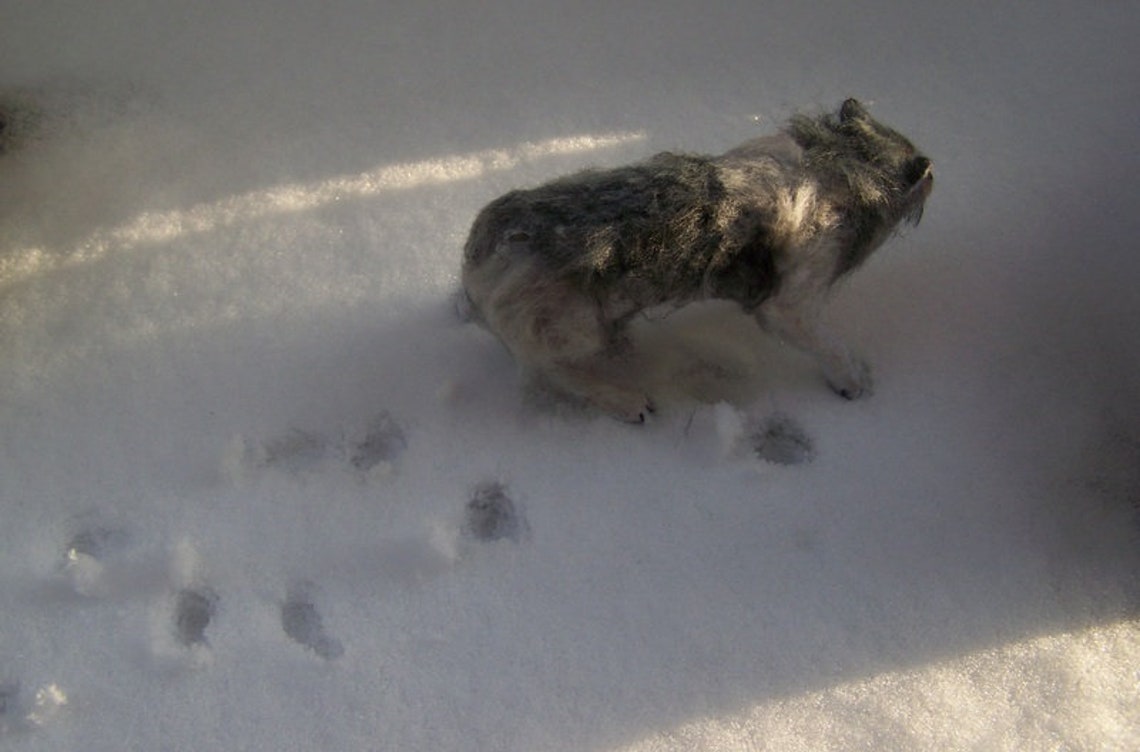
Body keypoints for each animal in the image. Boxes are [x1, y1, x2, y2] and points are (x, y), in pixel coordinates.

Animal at [462, 99, 932, 422]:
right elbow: (828, 345)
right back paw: (625, 400)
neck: (841, 161)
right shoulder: (790, 306)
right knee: (549, 371)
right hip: (571, 328)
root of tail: (478, 254)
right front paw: (854, 382)